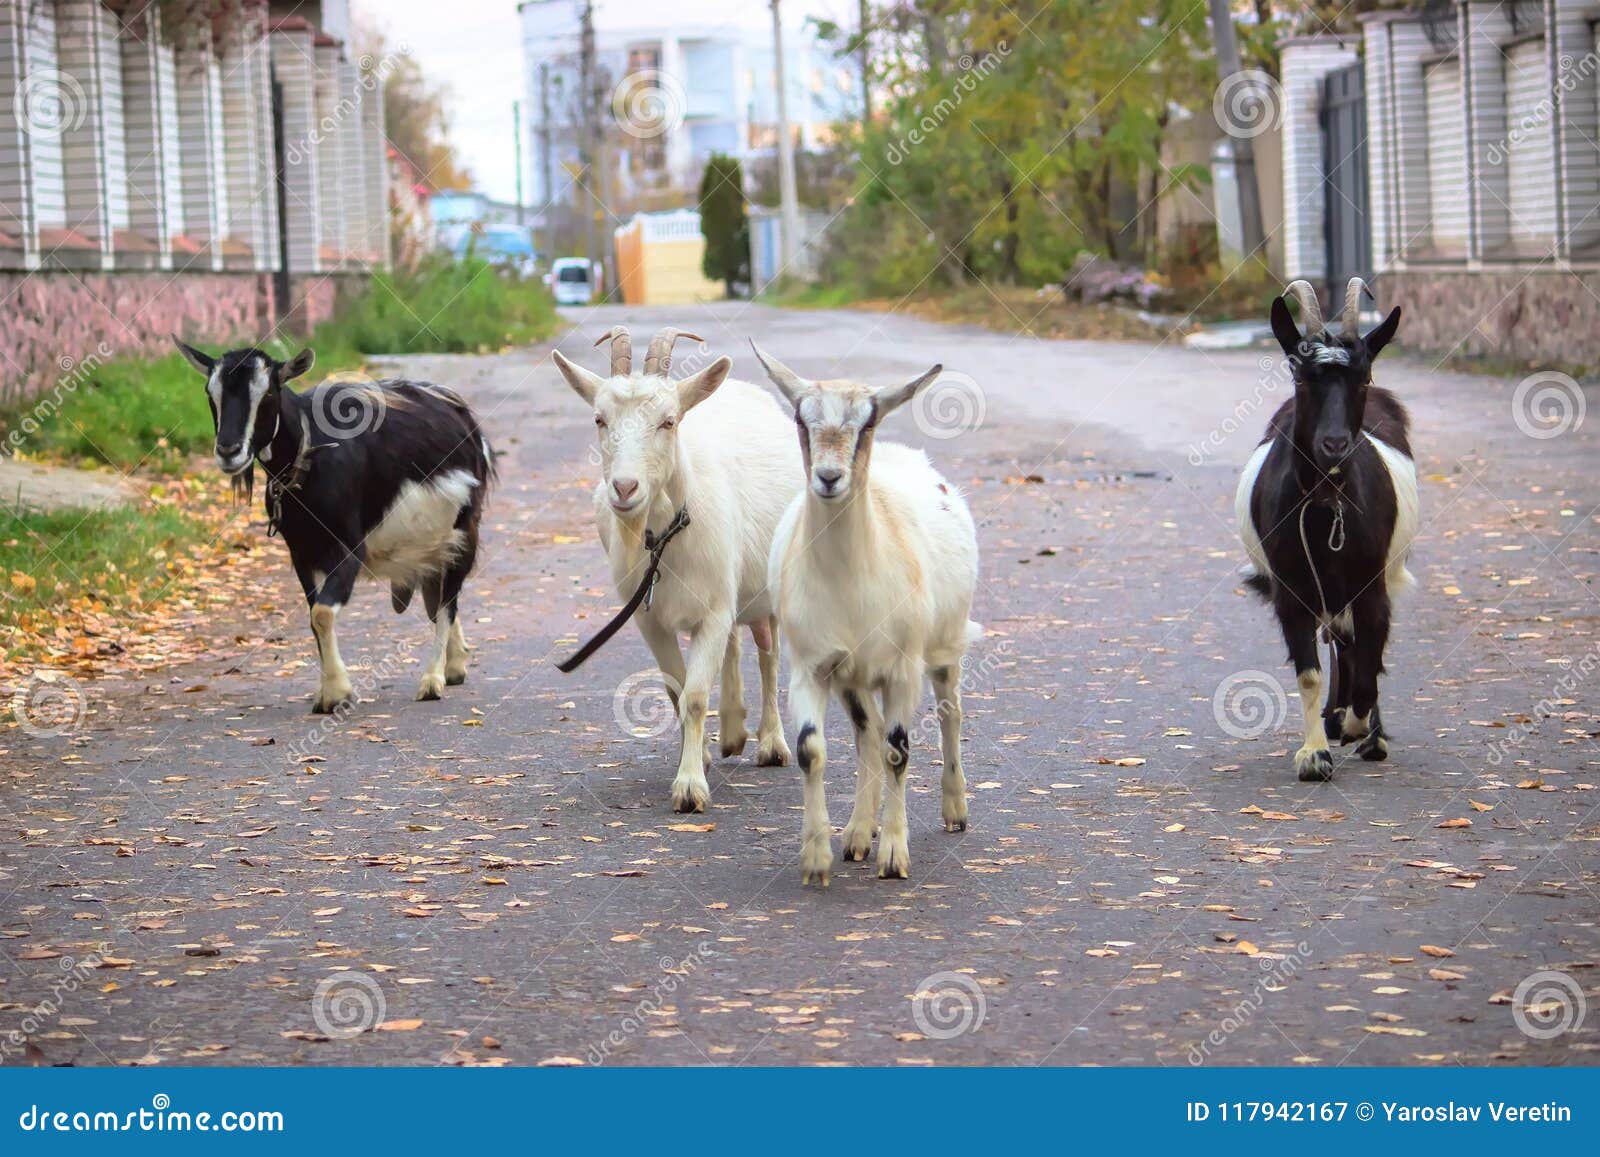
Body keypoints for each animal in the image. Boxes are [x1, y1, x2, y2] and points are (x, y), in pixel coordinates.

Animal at [174, 339, 495, 712]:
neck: (309, 452)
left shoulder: (349, 547)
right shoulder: (300, 554)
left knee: (447, 604)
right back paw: (455, 664)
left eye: (267, 394)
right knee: (437, 600)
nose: (228, 451)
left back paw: (432, 679)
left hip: (463, 532)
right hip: (431, 548)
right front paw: (326, 691)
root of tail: (458, 411)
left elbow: (323, 614)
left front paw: (337, 693)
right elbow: (314, 616)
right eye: (211, 394)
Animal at [552, 326, 802, 813]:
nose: (624, 488)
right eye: (599, 420)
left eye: (668, 421)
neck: (664, 540)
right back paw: (732, 730)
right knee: (735, 648)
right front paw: (698, 754)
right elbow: (676, 689)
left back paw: (772, 743)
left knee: (768, 654)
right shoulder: (650, 619)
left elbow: (696, 695)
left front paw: (689, 787)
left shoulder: (714, 610)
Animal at [752, 345, 981, 885]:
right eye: (801, 419)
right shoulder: (813, 665)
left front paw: (895, 857)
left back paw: (954, 809)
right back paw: (858, 833)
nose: (829, 478)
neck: (851, 580)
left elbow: (899, 749)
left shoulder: (902, 668)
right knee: (867, 733)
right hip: (852, 675)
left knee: (949, 713)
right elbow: (814, 750)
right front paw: (817, 857)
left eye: (867, 421)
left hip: (945, 643)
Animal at [1234, 279, 1417, 782]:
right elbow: (1310, 672)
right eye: (1301, 377)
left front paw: (1360, 728)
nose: (1334, 444)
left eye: (1363, 378)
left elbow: (1371, 666)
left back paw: (1364, 731)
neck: (1326, 505)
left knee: (1357, 648)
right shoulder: (1292, 590)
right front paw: (1314, 754)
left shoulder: (1372, 586)